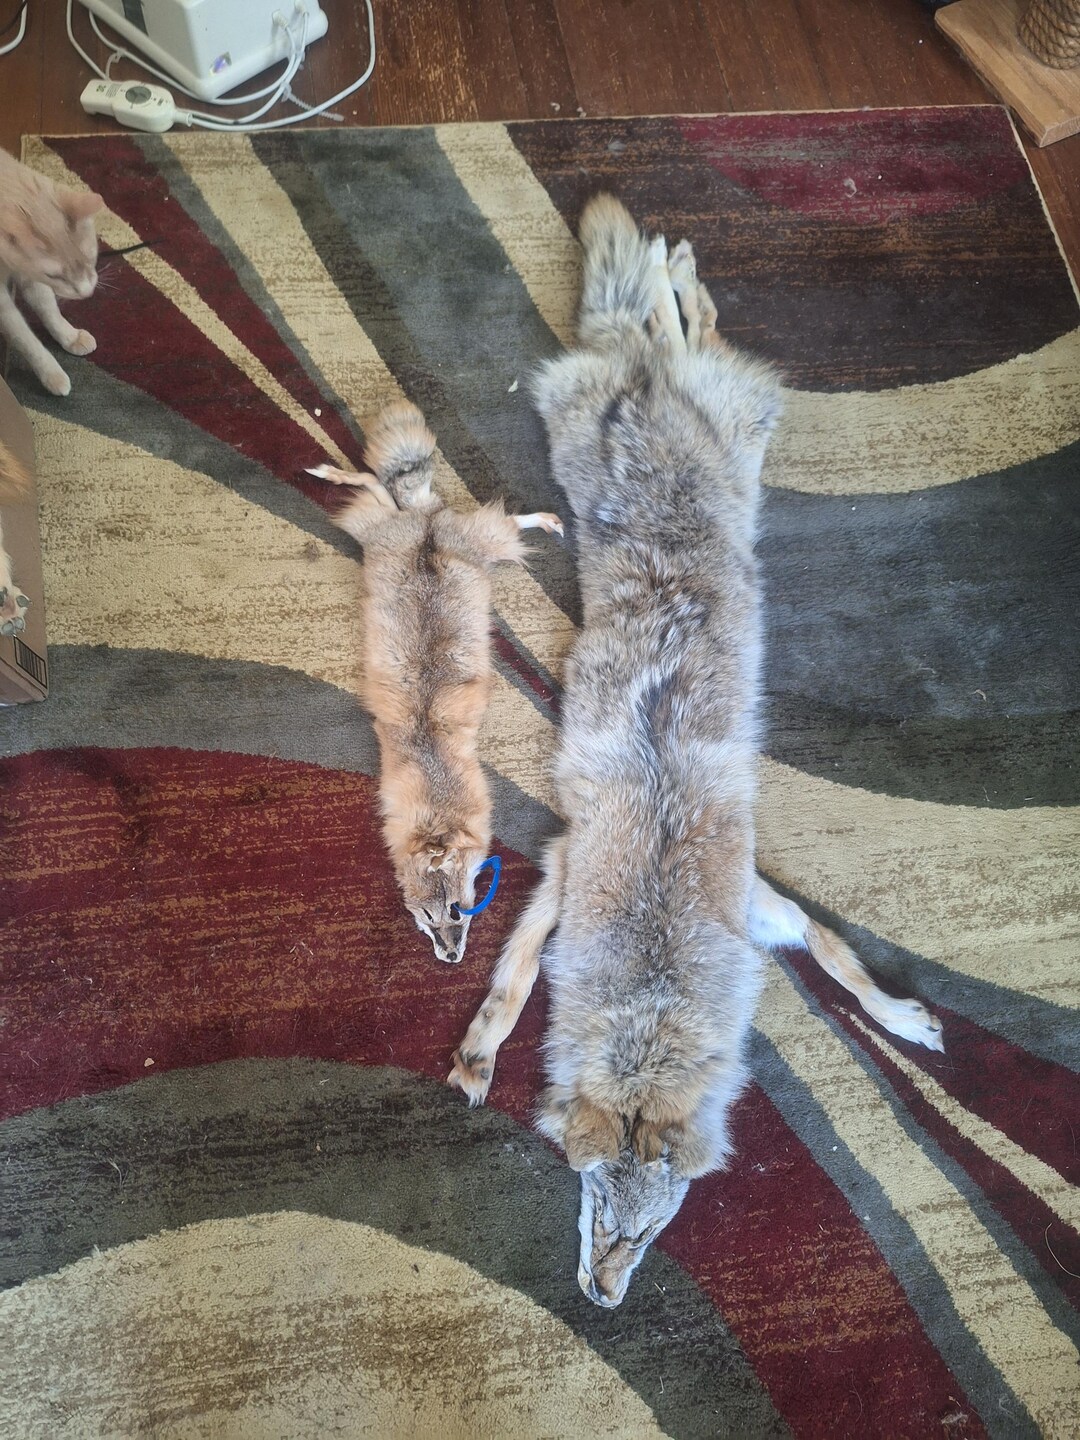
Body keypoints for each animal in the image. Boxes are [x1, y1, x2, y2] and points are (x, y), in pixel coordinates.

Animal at [309, 401, 562, 964]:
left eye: (456, 912)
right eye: (426, 919)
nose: (450, 959)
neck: (437, 825)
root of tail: (427, 526)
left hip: (471, 542)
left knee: (492, 518)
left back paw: (546, 520)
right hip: (386, 533)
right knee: (380, 489)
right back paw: (336, 474)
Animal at [448, 197, 943, 1307]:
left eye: (647, 1230)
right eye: (595, 1207)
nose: (599, 1299)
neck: (655, 1000)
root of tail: (644, 394)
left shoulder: (762, 909)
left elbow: (845, 967)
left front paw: (906, 1020)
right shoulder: (560, 869)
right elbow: (509, 985)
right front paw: (477, 1058)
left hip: (738, 429)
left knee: (681, 330)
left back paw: (676, 272)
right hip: (690, 414)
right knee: (672, 329)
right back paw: (672, 270)